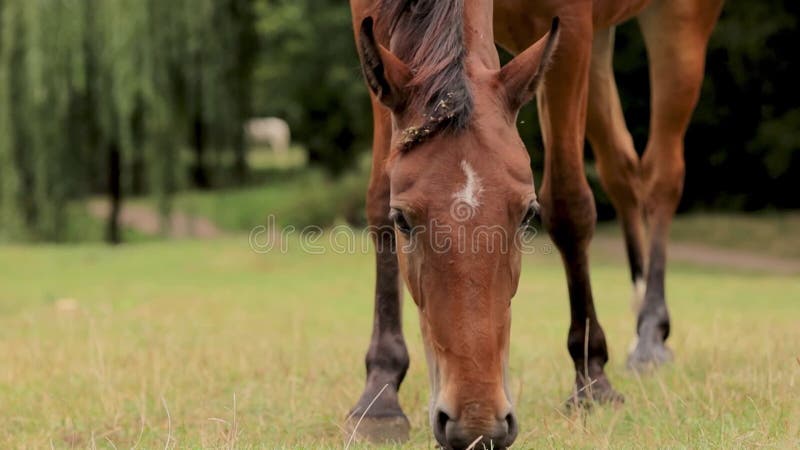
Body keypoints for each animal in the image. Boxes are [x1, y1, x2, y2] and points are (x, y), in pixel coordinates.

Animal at [345, 0, 723, 448]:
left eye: (527, 214)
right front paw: (380, 396)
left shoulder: (571, 30)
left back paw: (649, 334)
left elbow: (568, 206)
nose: (478, 424)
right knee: (623, 172)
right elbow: (376, 200)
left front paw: (592, 378)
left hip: (677, 26)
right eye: (402, 219)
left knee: (663, 178)